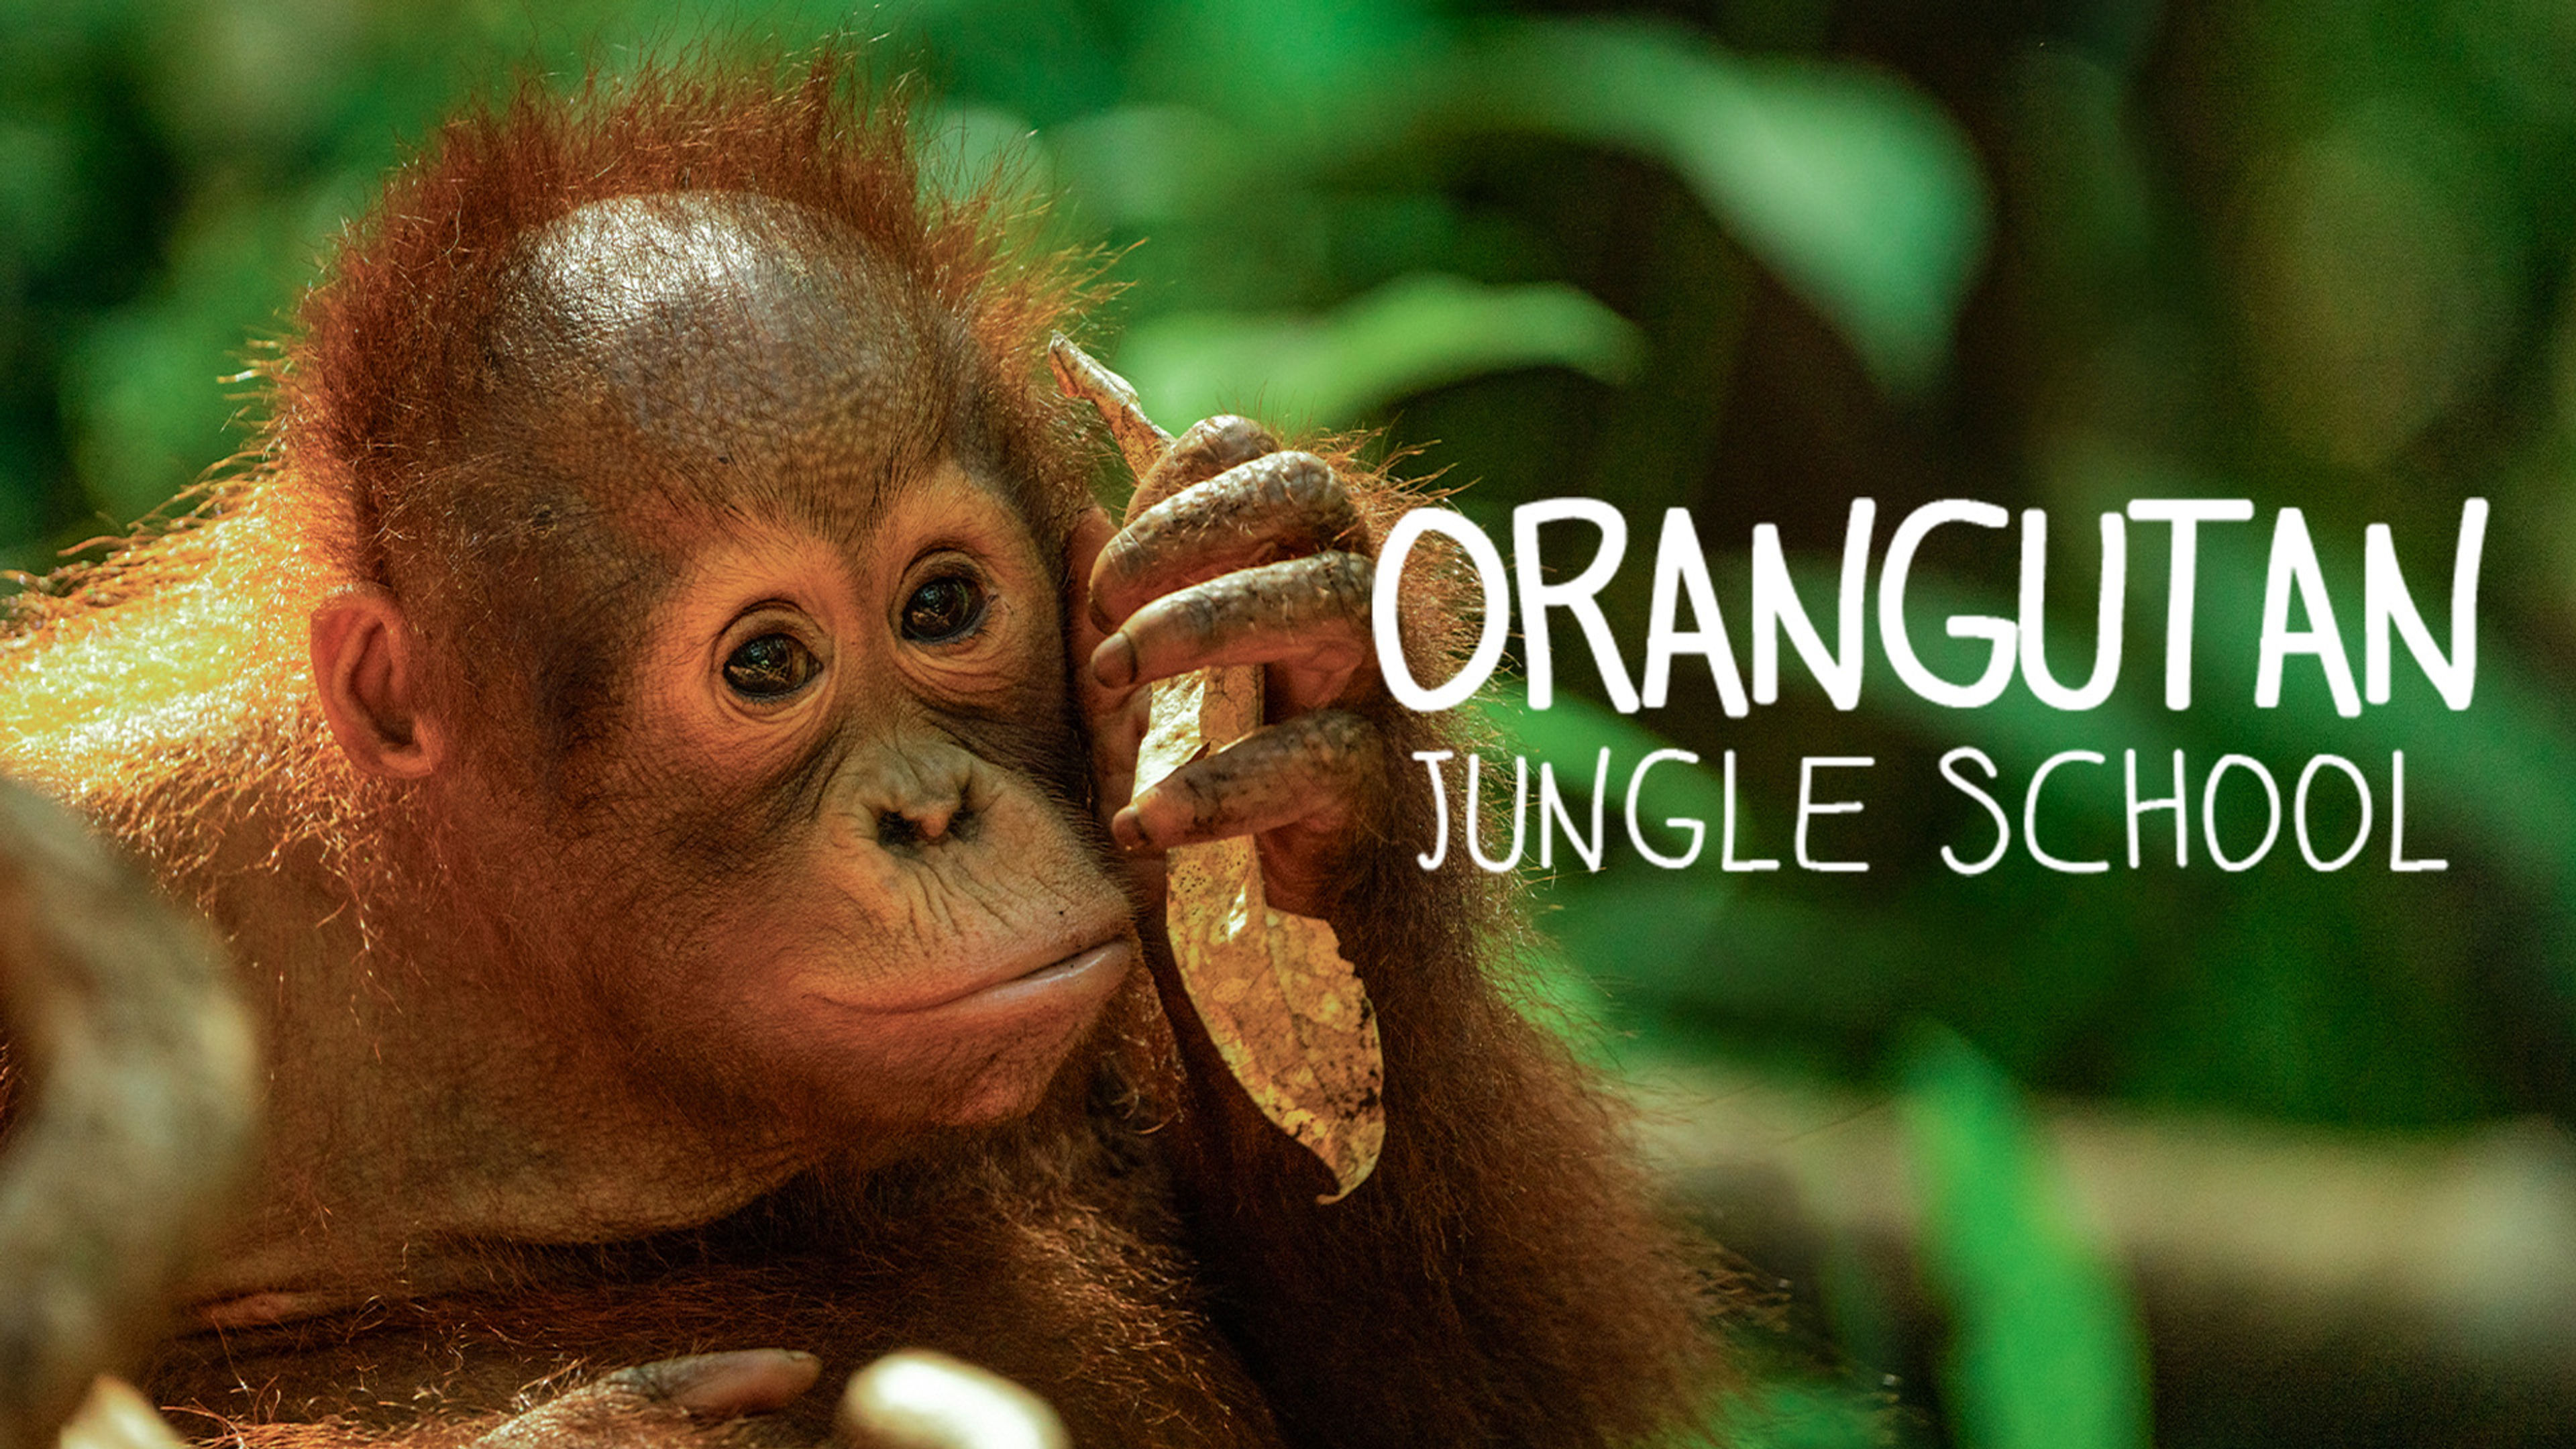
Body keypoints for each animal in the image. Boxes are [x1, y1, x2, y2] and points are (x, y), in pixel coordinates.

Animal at [0, 54, 1721, 1449]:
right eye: (766, 663)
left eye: (942, 604)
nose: (936, 810)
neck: (549, 1009)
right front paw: (612, 1430)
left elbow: (1449, 1405)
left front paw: (1314, 700)